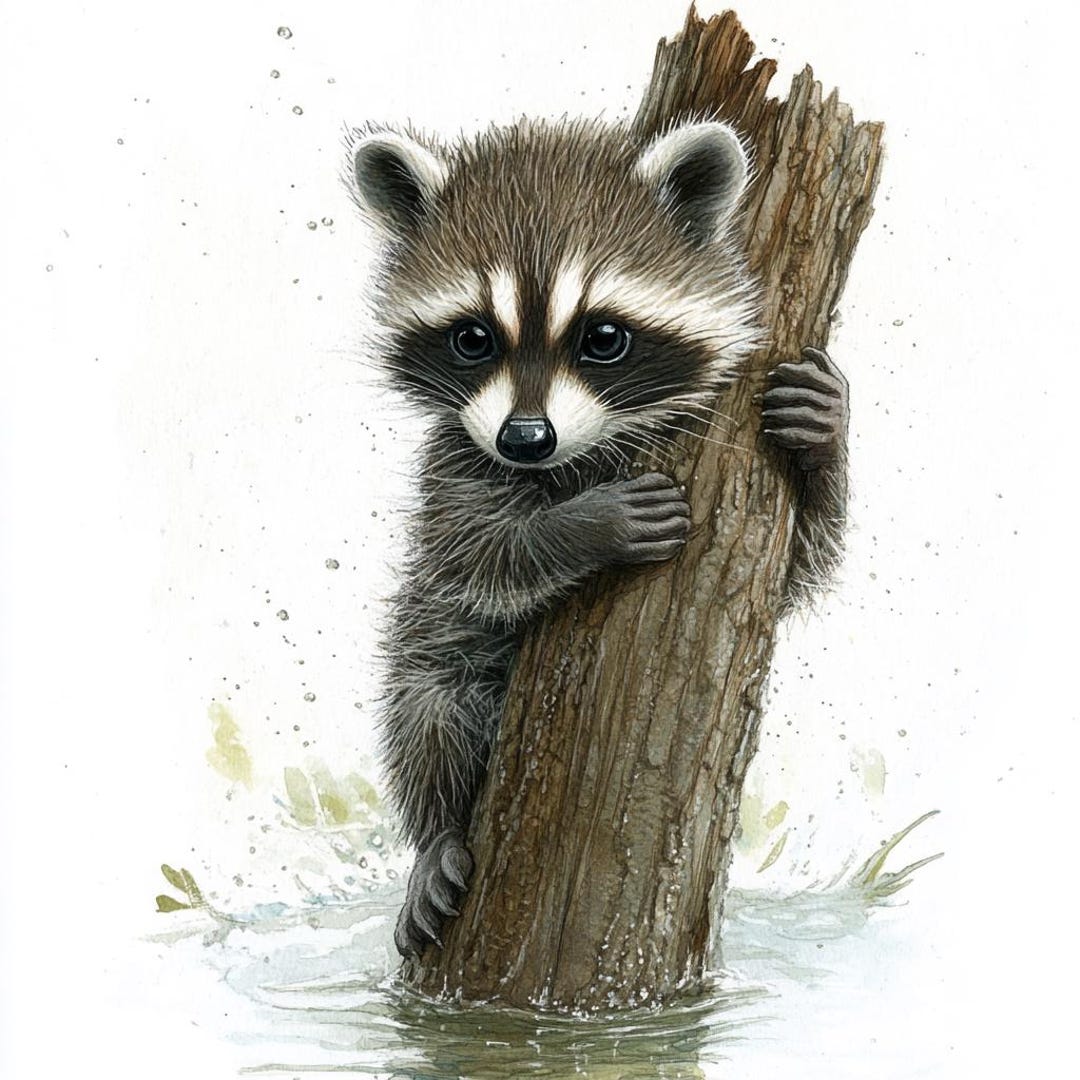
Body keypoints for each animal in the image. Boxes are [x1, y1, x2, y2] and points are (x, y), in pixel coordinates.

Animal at [347, 118, 848, 957]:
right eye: (473, 338)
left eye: (604, 337)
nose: (524, 439)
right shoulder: (453, 464)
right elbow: (477, 555)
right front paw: (584, 528)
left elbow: (801, 565)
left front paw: (826, 436)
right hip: (436, 644)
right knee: (428, 705)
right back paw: (439, 828)